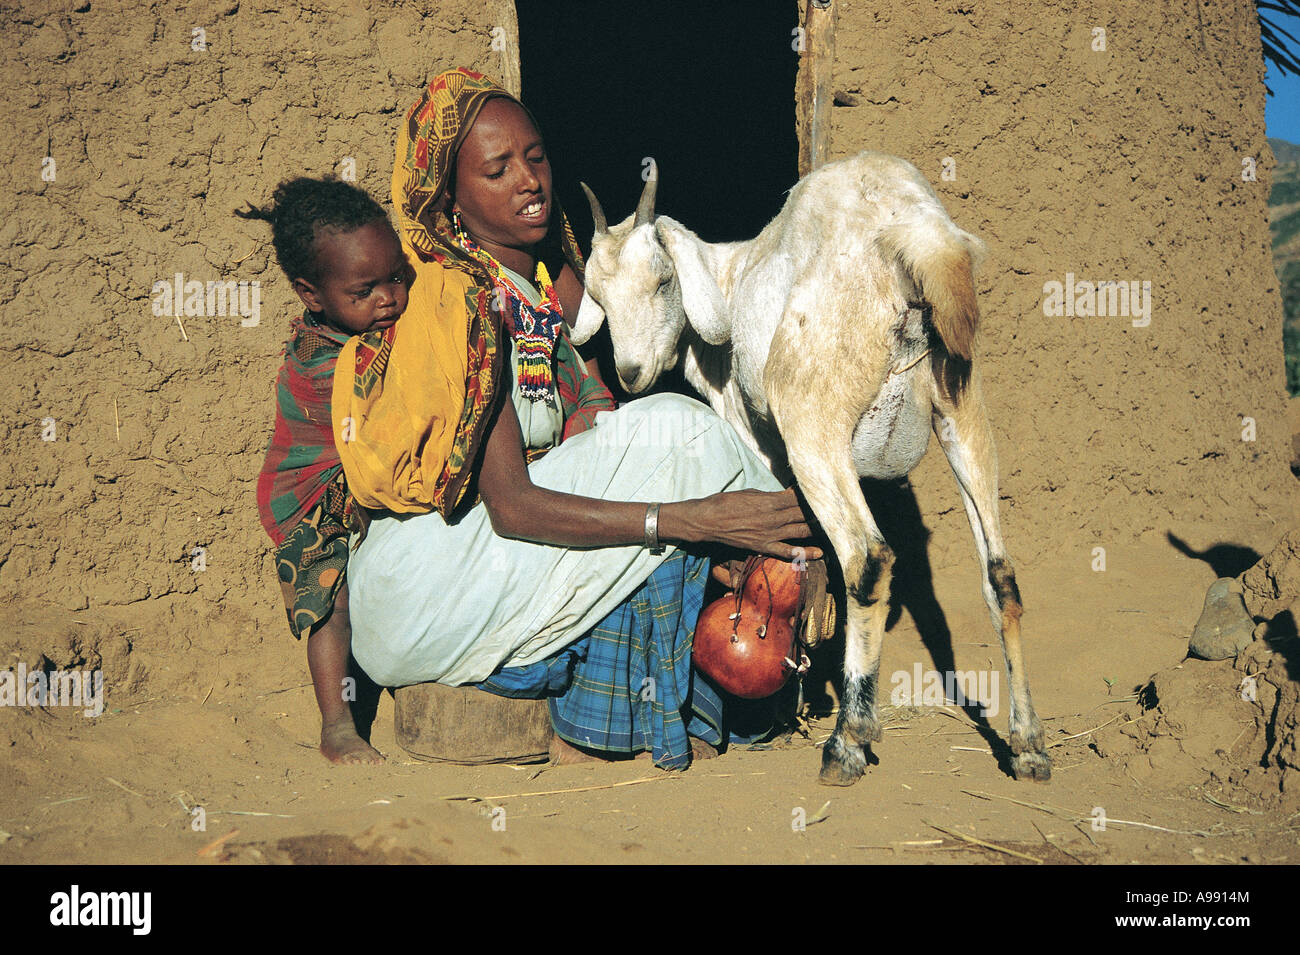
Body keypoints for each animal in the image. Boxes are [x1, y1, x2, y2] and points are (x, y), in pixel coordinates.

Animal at [570, 152, 1050, 785]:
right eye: (598, 295)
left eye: (663, 280)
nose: (630, 372)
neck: (731, 276)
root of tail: (913, 239)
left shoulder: (760, 440)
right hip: (961, 409)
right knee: (1001, 575)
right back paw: (1028, 744)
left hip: (812, 421)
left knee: (868, 559)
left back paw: (848, 741)